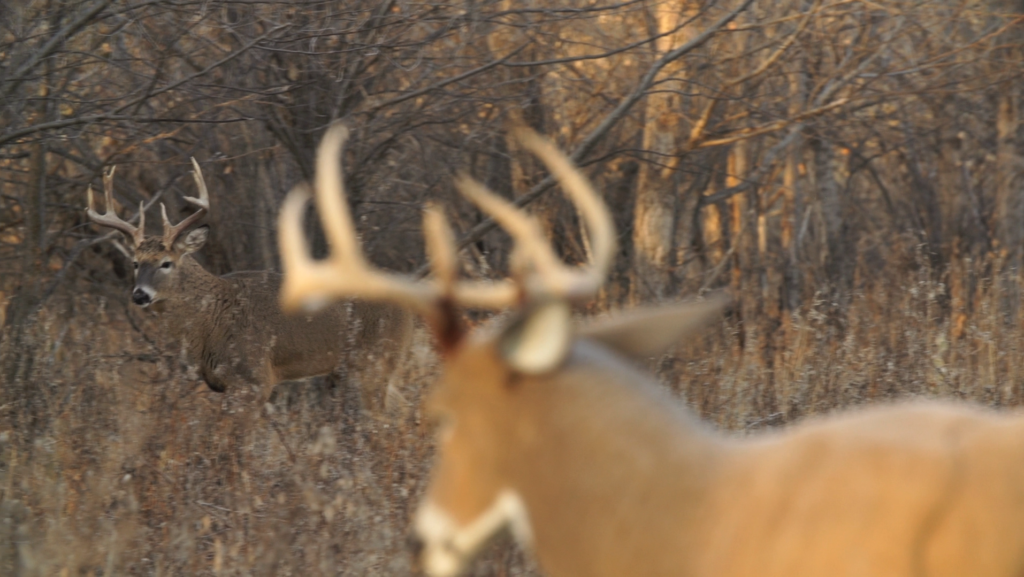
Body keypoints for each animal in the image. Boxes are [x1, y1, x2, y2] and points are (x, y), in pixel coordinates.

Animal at [86, 160, 411, 414]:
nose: (140, 295)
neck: (213, 318)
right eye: (135, 263)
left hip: (378, 358)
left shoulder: (255, 378)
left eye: (166, 263)